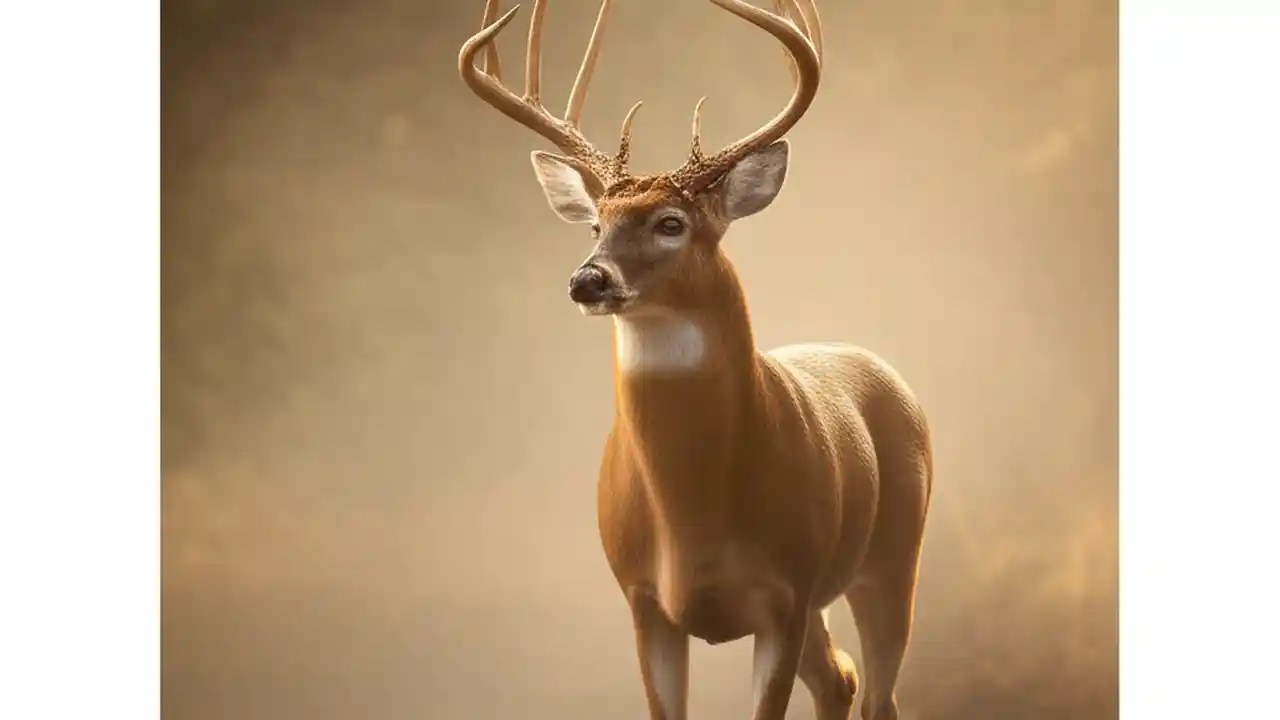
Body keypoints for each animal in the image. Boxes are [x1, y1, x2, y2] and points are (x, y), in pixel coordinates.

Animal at [457, 1, 932, 718]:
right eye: (596, 224)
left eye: (671, 223)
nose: (587, 280)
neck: (696, 519)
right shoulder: (643, 600)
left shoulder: (789, 593)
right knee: (842, 678)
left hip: (893, 556)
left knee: (878, 689)